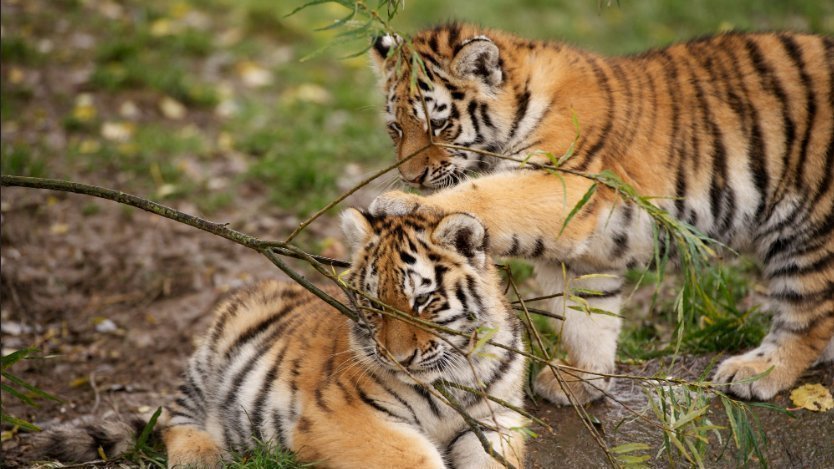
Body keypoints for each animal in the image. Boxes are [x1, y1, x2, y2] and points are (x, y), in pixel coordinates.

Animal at [37, 209, 527, 469]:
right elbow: (415, 457)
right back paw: (204, 456)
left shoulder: (498, 422)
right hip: (209, 358)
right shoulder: (345, 418)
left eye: (423, 300)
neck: (453, 373)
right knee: (178, 420)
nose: (398, 358)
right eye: (372, 305)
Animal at [368, 23, 834, 404]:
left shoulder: (564, 184)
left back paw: (755, 373)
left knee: (806, 315)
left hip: (809, 231)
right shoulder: (584, 250)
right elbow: (585, 316)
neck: (523, 103)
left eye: (439, 126)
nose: (411, 176)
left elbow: (489, 195)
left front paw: (398, 202)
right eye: (395, 129)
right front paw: (583, 381)